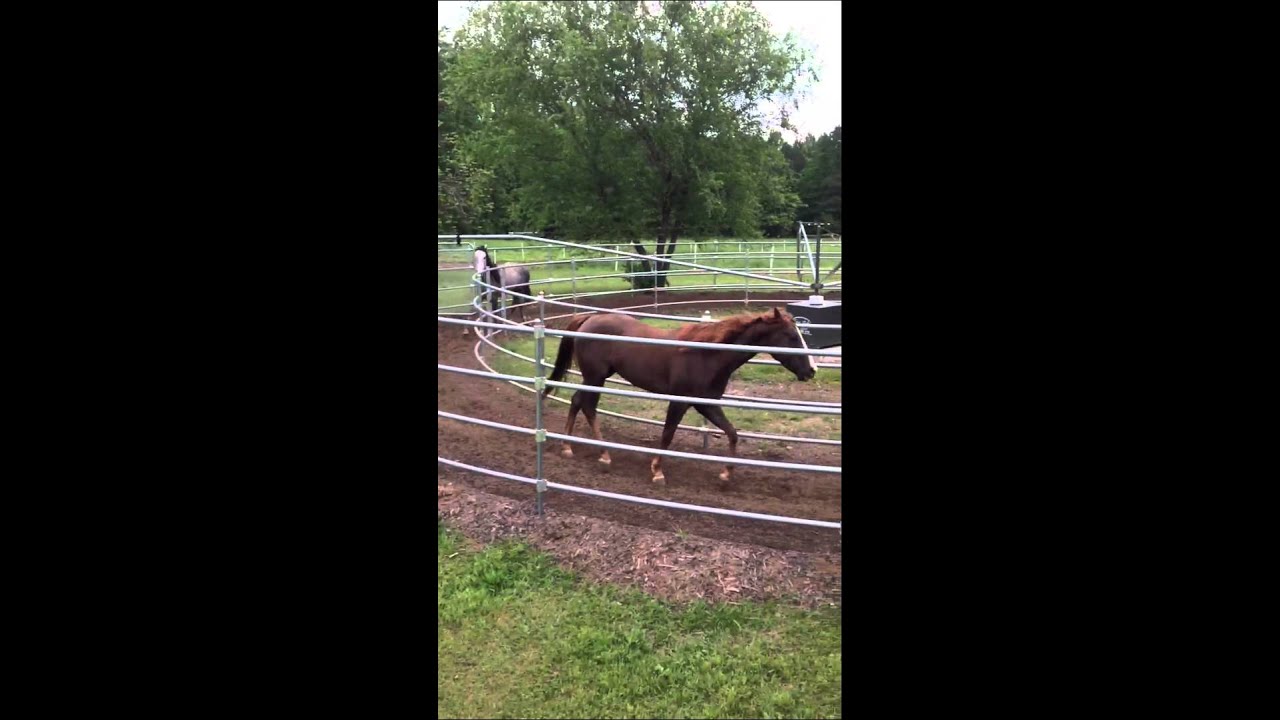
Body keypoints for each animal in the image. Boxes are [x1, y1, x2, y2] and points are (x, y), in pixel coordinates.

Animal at [542, 307, 815, 484]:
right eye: (792, 337)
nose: (811, 370)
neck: (708, 354)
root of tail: (588, 318)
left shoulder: (706, 404)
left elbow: (732, 433)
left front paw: (726, 474)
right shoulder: (680, 402)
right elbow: (668, 434)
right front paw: (657, 472)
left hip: (596, 379)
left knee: (579, 402)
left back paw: (576, 448)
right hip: (595, 378)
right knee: (585, 405)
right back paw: (600, 454)